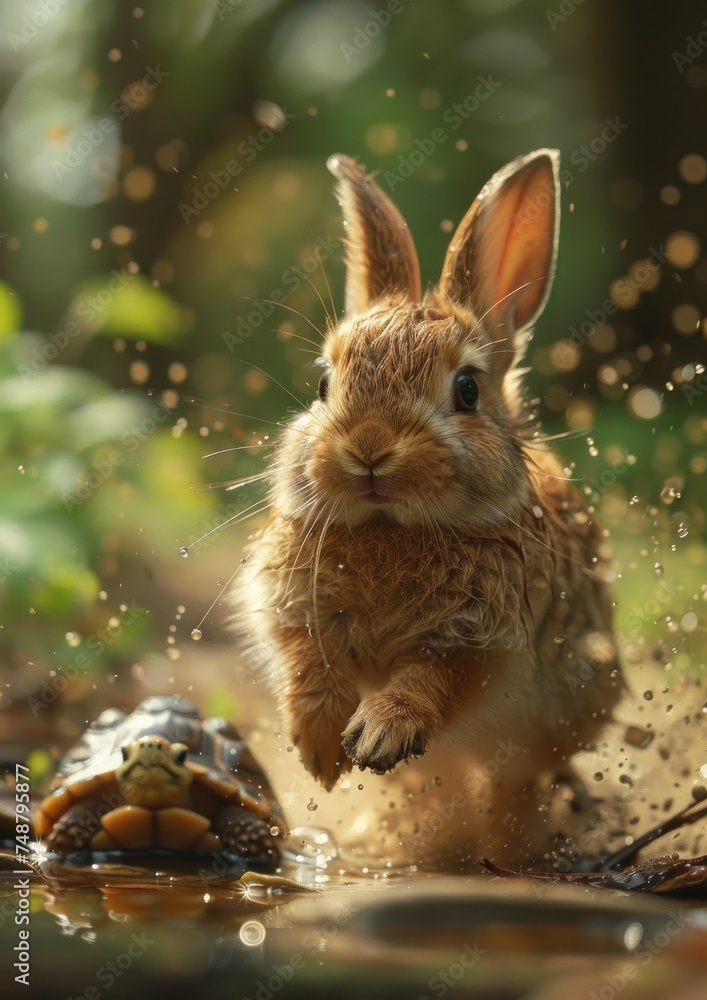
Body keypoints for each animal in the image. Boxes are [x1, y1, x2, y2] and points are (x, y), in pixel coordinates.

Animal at [233, 149, 624, 834]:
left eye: (467, 390)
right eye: (322, 385)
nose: (368, 449)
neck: (391, 528)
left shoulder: (486, 642)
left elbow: (433, 680)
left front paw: (379, 734)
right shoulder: (294, 609)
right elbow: (308, 660)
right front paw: (319, 750)